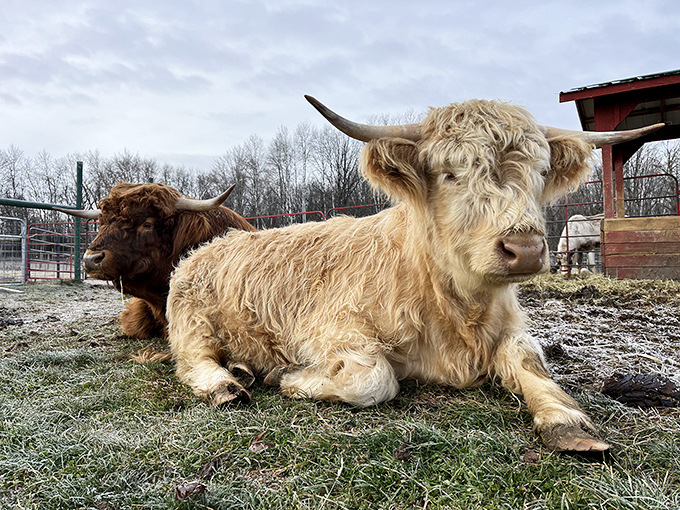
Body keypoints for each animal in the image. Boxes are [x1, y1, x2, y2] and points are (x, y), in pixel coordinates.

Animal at [166, 96, 662, 452]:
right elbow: (373, 380)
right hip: (193, 325)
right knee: (194, 362)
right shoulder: (327, 331)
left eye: (540, 172)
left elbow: (529, 362)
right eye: (449, 173)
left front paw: (567, 420)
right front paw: (287, 377)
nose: (524, 250)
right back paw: (228, 383)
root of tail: (211, 245)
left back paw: (243, 368)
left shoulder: (509, 329)